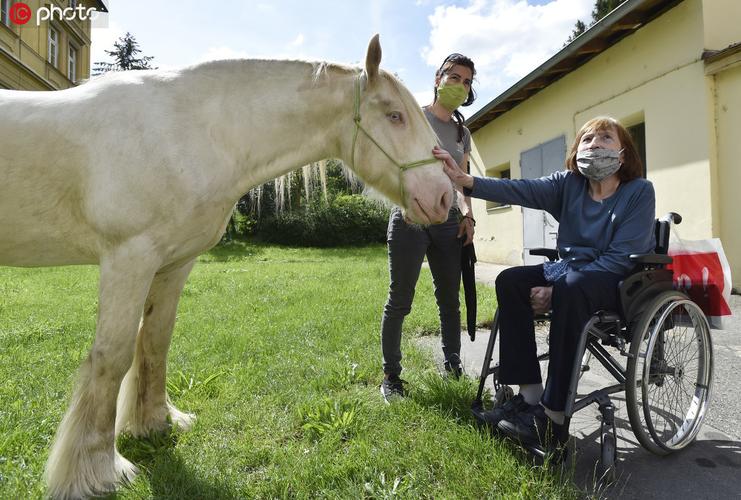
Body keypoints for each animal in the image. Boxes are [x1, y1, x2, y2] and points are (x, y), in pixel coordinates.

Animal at [0, 35, 453, 499]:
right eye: (395, 115)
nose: (444, 197)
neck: (188, 128)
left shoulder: (173, 264)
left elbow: (154, 343)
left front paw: (155, 423)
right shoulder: (129, 259)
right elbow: (111, 356)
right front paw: (96, 469)